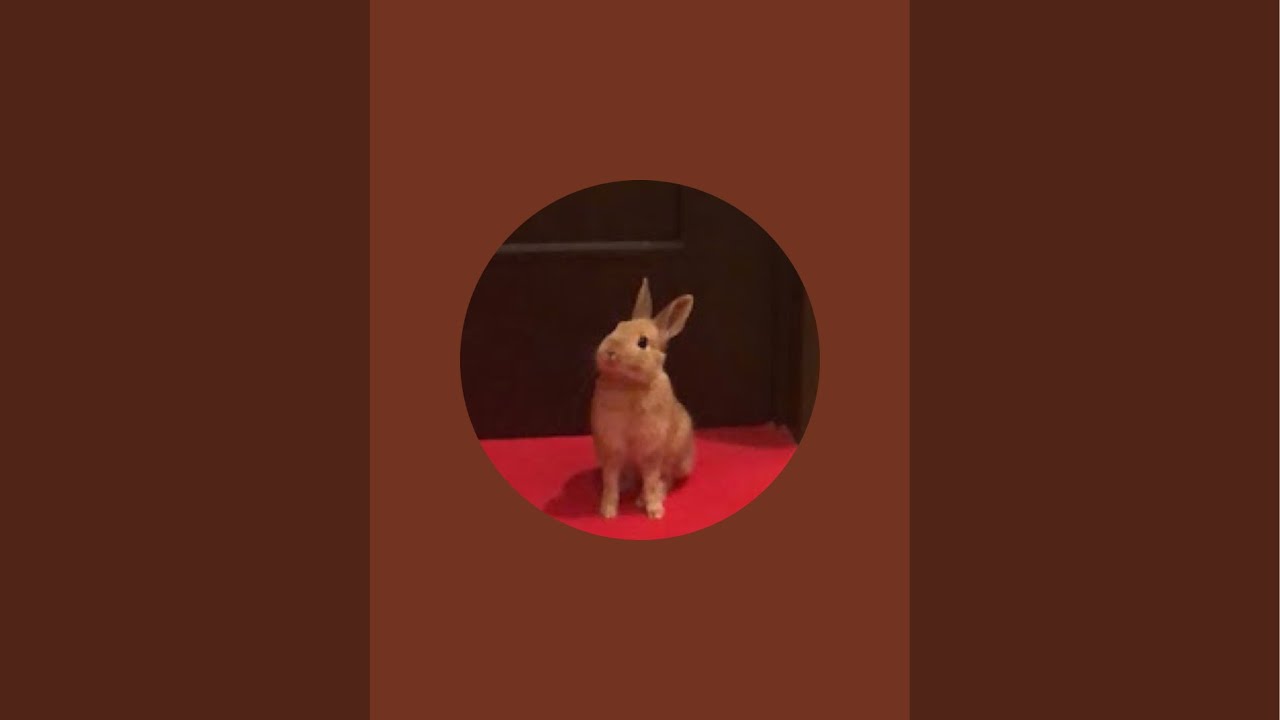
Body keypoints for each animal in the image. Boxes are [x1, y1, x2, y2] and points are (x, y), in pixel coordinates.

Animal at [590, 277, 696, 520]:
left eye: (642, 342)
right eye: (617, 327)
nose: (609, 352)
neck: (628, 383)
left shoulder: (651, 451)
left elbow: (650, 481)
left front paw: (654, 511)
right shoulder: (611, 449)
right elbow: (610, 480)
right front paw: (607, 511)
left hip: (676, 456)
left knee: (666, 478)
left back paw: (647, 498)